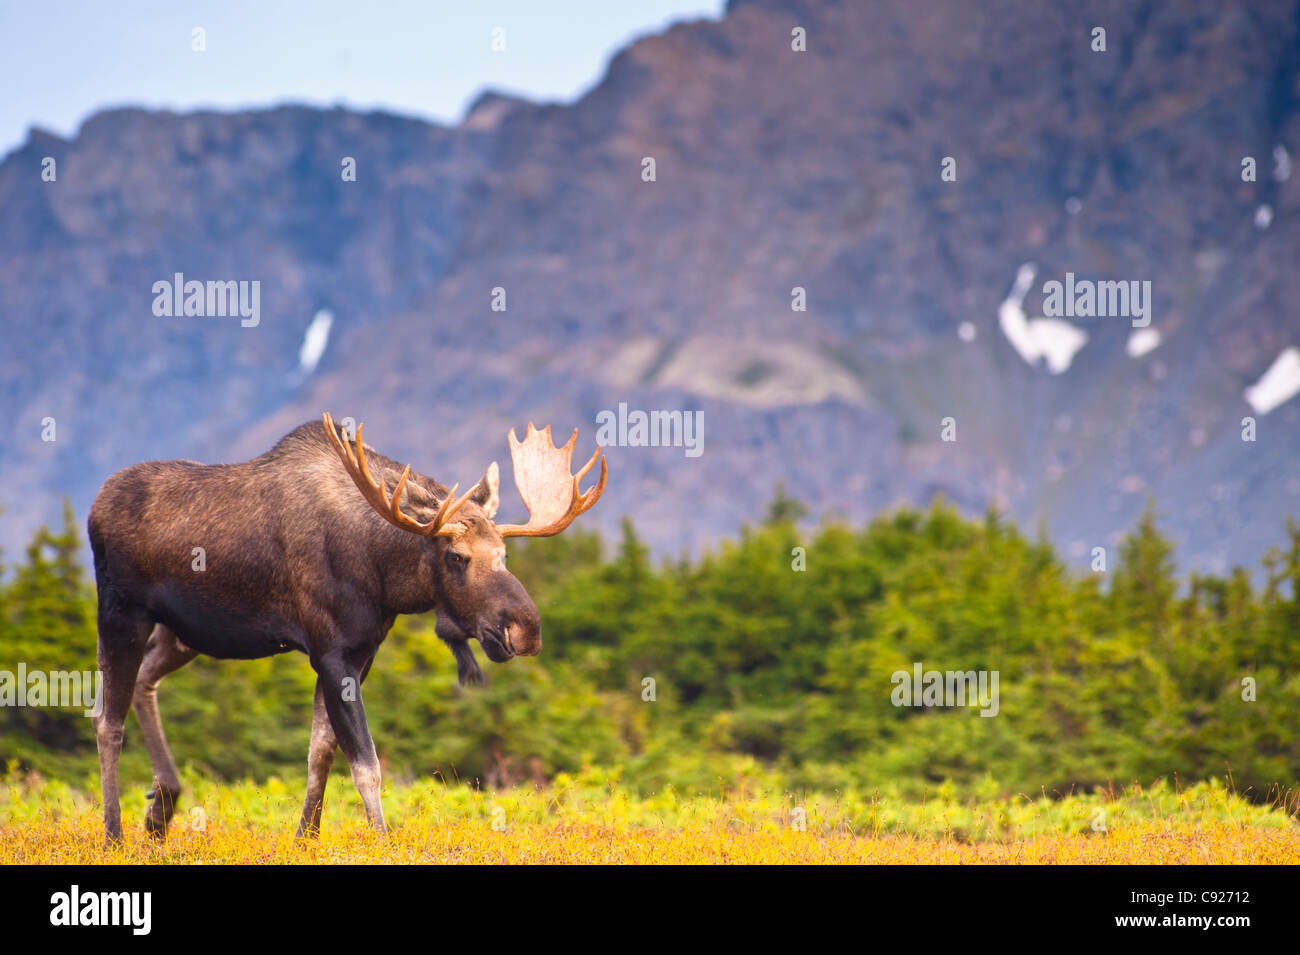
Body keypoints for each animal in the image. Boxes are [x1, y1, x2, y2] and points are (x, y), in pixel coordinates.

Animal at [86, 413, 606, 845]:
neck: (385, 573)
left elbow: (321, 751)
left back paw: (161, 809)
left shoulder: (359, 654)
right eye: (457, 557)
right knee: (107, 719)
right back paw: (114, 833)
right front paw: (382, 839)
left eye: (504, 552)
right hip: (121, 612)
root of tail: (94, 509)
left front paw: (306, 836)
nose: (526, 629)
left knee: (144, 684)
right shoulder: (332, 652)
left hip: (182, 633)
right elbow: (366, 764)